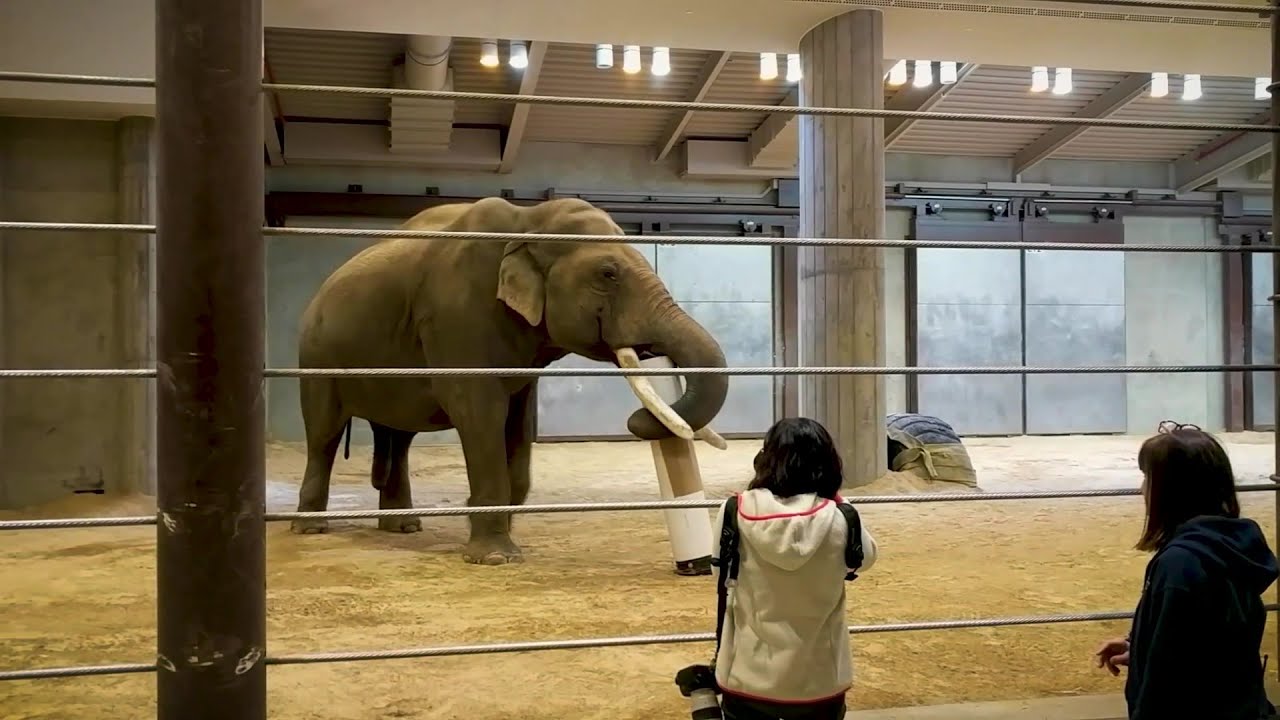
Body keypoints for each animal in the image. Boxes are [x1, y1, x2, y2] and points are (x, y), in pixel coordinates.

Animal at [290, 196, 731, 566]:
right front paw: (495, 558)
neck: (528, 219)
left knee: (398, 437)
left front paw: (503, 540)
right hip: (315, 355)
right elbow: (479, 411)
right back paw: (310, 528)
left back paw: (404, 527)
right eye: (608, 274)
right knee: (324, 434)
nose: (636, 420)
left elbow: (517, 419)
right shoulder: (457, 315)